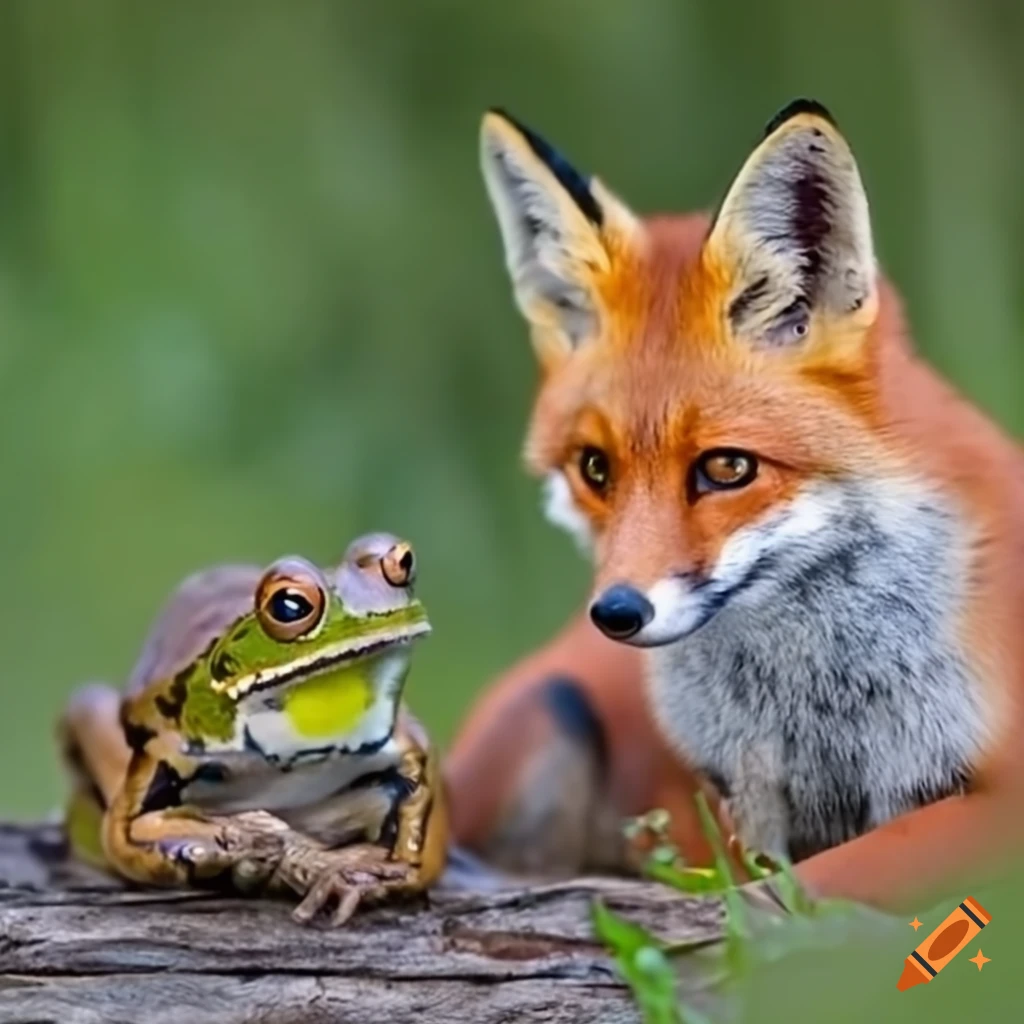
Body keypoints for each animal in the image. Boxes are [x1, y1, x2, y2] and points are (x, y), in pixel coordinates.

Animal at [443, 99, 1024, 911]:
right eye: (595, 468)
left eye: (726, 467)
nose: (617, 613)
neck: (825, 711)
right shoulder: (746, 812)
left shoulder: (991, 794)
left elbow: (800, 892)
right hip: (547, 711)